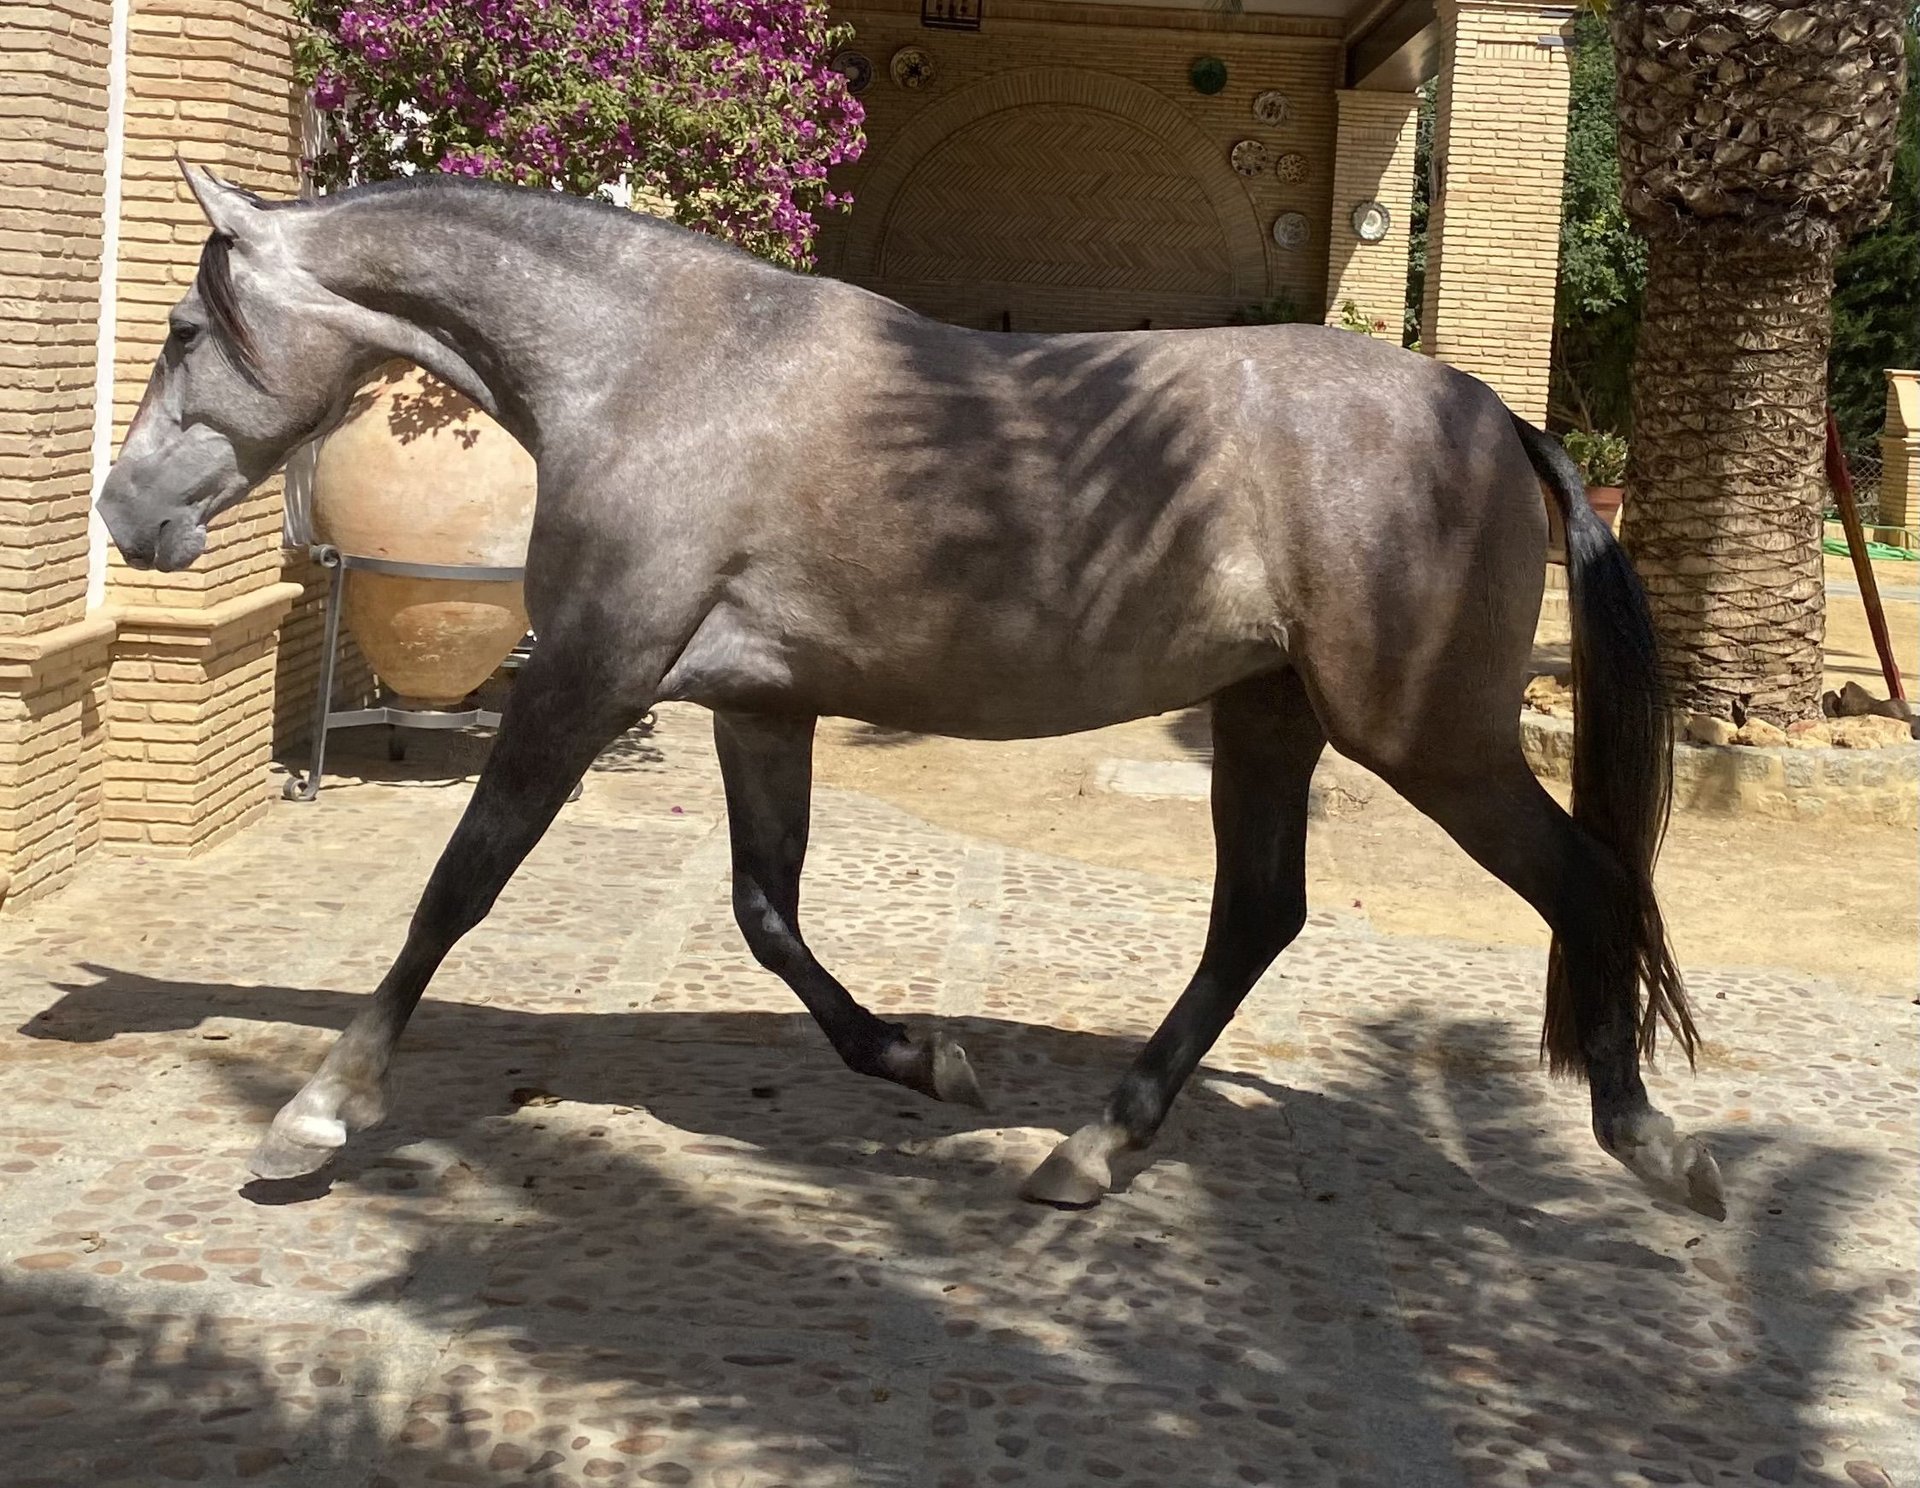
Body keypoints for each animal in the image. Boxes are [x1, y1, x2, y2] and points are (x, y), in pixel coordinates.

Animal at [97, 163, 1723, 1220]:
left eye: (182, 332)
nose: (125, 516)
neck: (662, 368)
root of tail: (1499, 420)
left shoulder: (592, 677)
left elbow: (460, 887)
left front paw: (314, 1113)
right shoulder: (756, 707)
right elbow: (766, 913)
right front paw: (926, 1062)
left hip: (1425, 737)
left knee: (1589, 883)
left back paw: (1656, 1144)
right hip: (1272, 715)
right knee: (1260, 918)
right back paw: (1092, 1150)